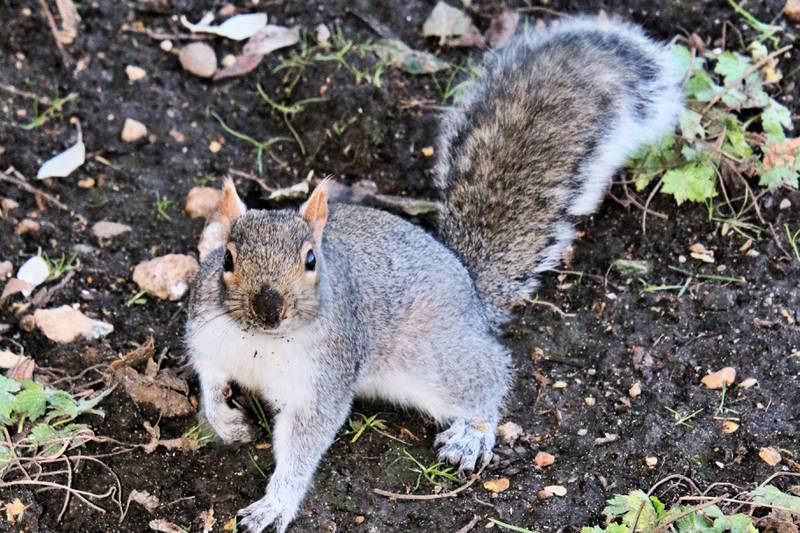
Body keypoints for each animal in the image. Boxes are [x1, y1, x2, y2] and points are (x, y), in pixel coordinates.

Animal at [186, 17, 683, 533]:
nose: (269, 307)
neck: (259, 344)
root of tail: (469, 287)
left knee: (489, 372)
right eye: (227, 259)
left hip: (429, 358)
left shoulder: (322, 380)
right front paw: (223, 419)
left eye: (310, 261)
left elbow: (304, 442)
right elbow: (208, 379)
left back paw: (472, 432)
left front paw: (276, 503)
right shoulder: (208, 337)